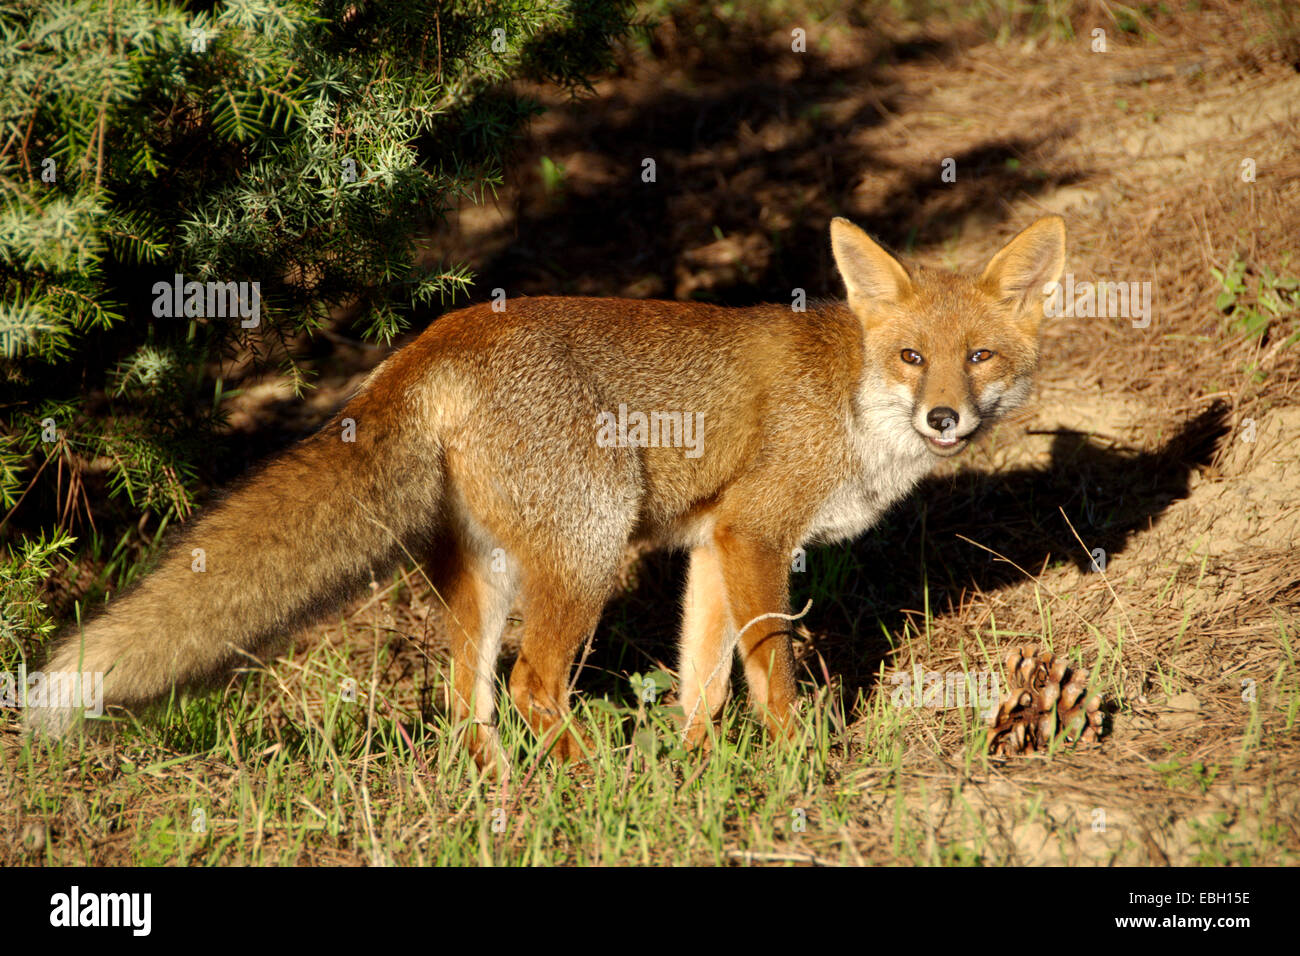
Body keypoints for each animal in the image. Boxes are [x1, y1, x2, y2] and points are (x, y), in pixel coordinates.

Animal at [31, 215, 1066, 770]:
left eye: (980, 357)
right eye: (912, 358)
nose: (945, 419)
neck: (850, 398)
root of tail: (433, 340)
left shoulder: (709, 544)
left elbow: (701, 681)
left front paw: (695, 771)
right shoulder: (756, 535)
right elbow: (768, 672)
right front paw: (794, 762)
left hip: (488, 572)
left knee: (467, 700)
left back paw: (509, 801)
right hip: (589, 548)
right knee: (531, 687)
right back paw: (588, 779)